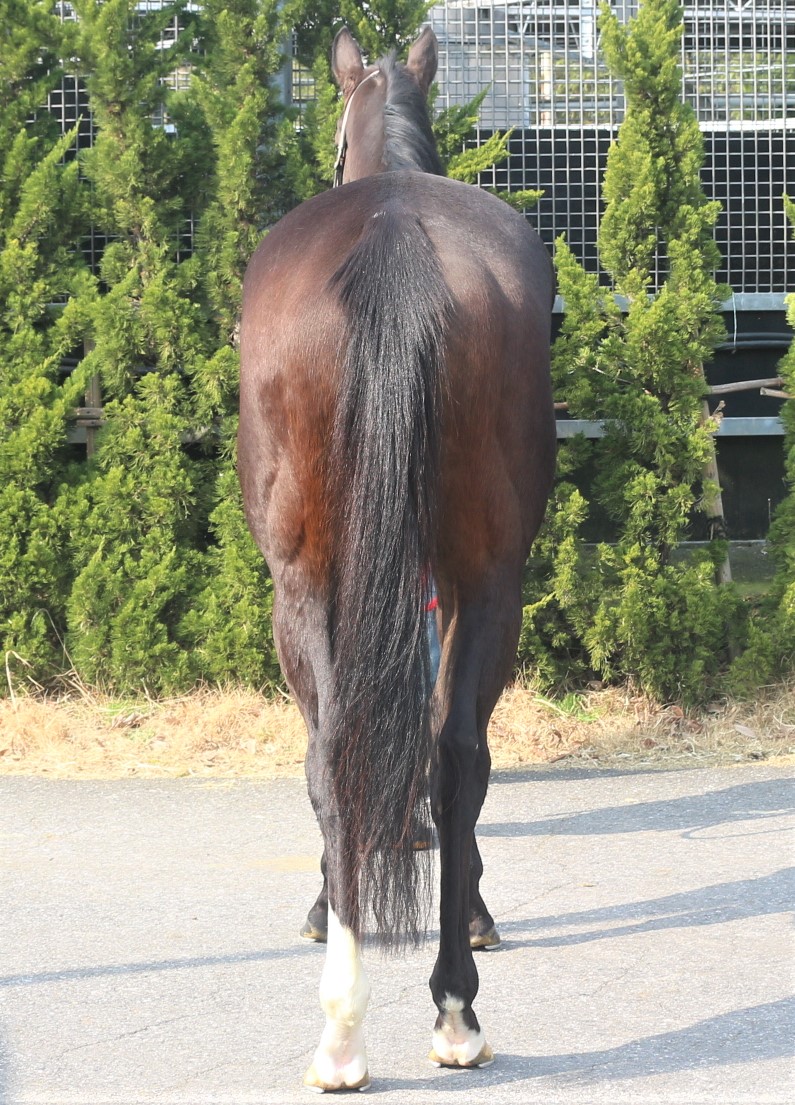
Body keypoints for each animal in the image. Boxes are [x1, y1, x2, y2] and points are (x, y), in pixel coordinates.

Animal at [238, 25, 556, 1092]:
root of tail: (392, 240)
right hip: (481, 578)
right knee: (448, 751)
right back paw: (442, 1003)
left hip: (316, 585)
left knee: (343, 747)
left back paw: (360, 1020)